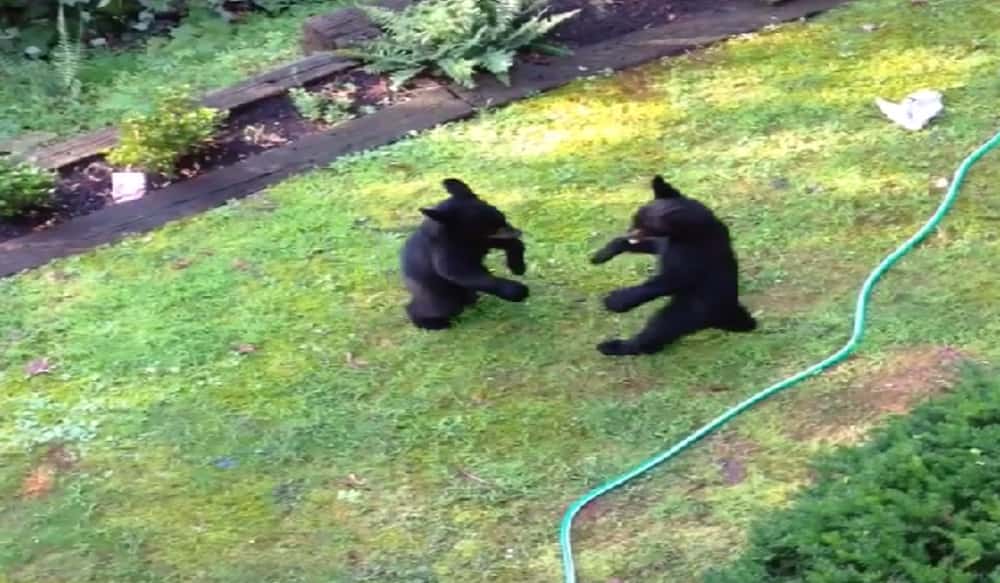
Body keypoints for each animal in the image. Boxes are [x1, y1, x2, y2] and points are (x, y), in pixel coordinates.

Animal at [401, 178, 529, 330]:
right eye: (492, 227)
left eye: (502, 218)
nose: (518, 231)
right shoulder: (445, 249)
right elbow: (458, 271)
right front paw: (518, 291)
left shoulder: (481, 242)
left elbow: (509, 244)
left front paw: (518, 267)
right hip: (438, 294)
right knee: (433, 307)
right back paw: (435, 323)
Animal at [590, 175, 757, 356]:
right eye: (634, 219)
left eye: (641, 226)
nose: (628, 233)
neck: (687, 234)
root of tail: (729, 313)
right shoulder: (667, 244)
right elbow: (652, 246)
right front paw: (600, 255)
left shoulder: (694, 256)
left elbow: (669, 280)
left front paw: (616, 300)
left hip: (690, 308)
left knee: (658, 328)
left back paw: (613, 346)